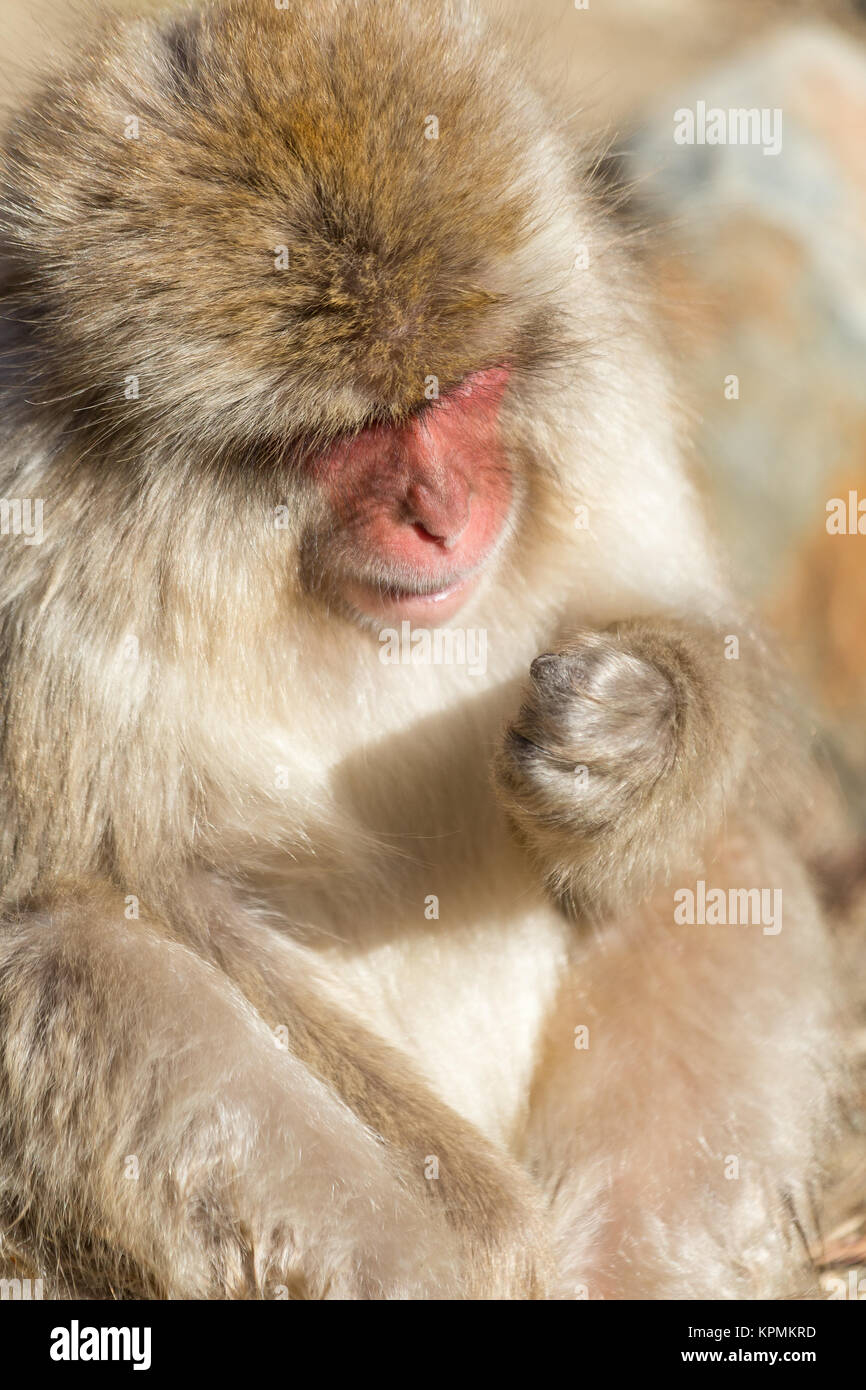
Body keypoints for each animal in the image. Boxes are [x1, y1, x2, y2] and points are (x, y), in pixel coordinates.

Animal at [0, 0, 843, 1299]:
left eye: (460, 391)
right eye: (354, 433)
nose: (442, 515)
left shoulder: (602, 390)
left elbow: (676, 620)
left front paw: (630, 736)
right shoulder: (37, 552)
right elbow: (132, 880)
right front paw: (480, 1225)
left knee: (725, 858)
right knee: (75, 954)